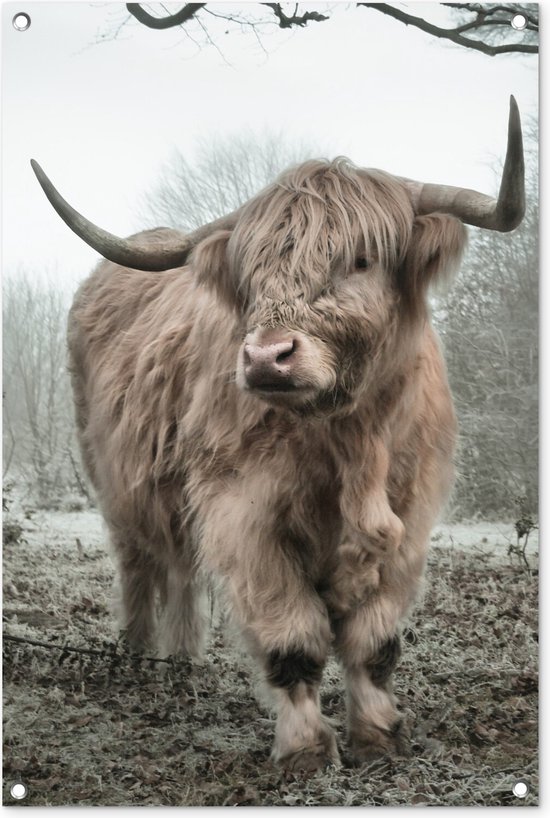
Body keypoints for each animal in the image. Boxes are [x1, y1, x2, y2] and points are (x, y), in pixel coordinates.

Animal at [32, 97, 524, 771]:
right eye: (253, 273)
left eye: (361, 259)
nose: (267, 357)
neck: (350, 442)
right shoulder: (245, 515)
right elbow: (294, 639)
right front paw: (306, 752)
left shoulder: (410, 516)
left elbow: (374, 643)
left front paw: (379, 738)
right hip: (113, 481)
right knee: (140, 564)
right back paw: (139, 656)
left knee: (181, 569)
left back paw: (182, 660)